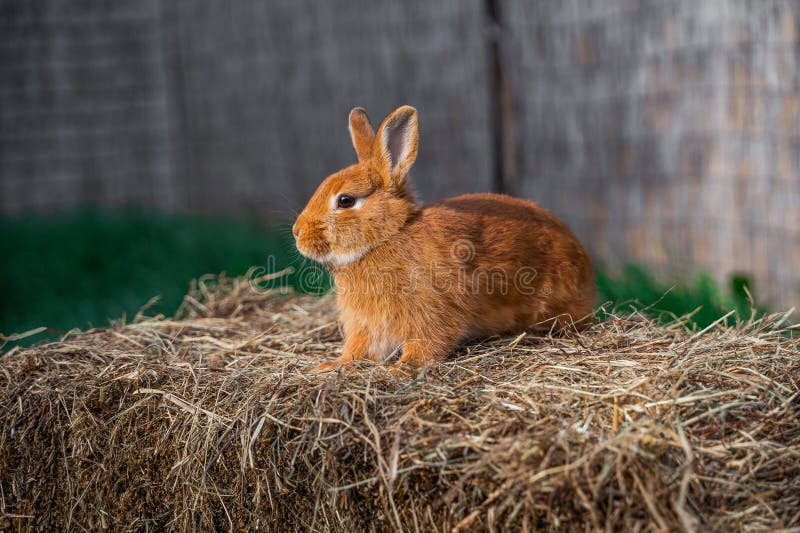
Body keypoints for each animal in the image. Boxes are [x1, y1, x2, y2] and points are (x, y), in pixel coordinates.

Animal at [292, 105, 595, 374]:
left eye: (345, 201)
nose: (297, 233)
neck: (388, 237)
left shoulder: (431, 313)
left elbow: (426, 344)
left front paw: (401, 370)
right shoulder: (365, 326)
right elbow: (358, 349)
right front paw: (332, 365)